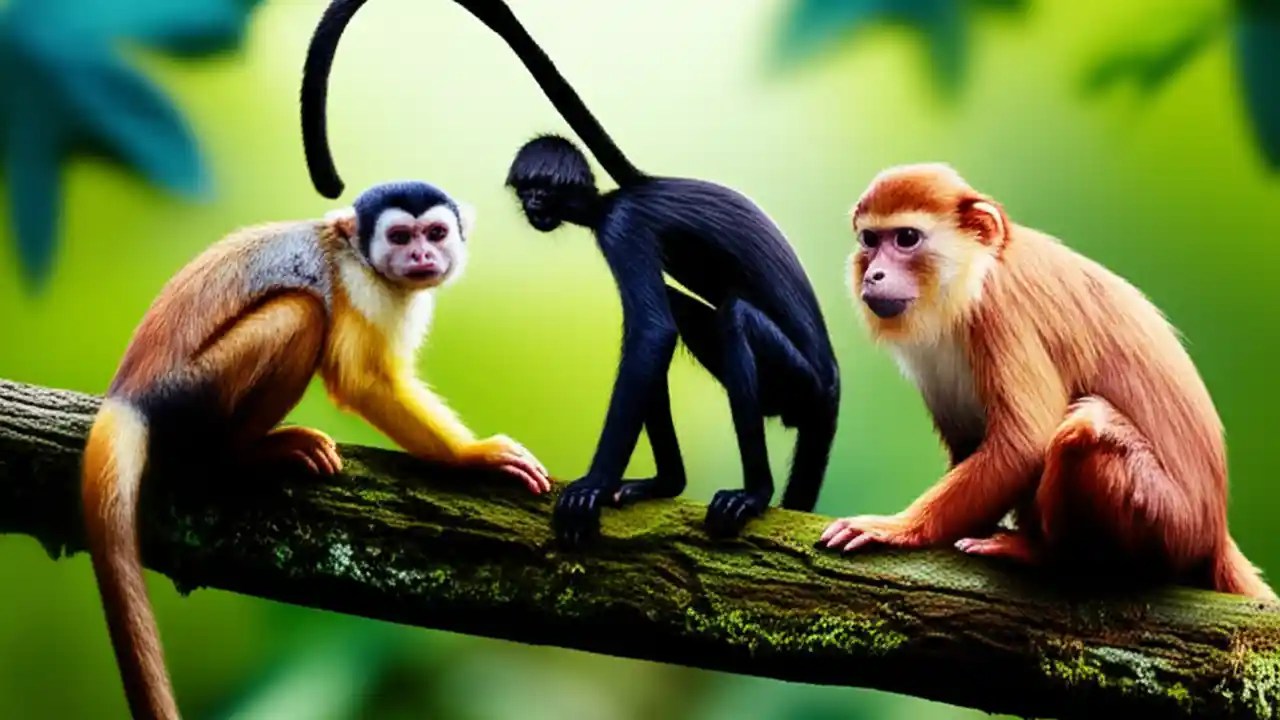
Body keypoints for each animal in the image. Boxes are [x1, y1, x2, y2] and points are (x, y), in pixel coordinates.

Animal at [81, 180, 551, 720]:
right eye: (400, 236)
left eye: (435, 233)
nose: (421, 255)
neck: (357, 255)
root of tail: (129, 395)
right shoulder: (361, 287)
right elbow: (360, 380)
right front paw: (477, 455)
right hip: (192, 390)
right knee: (302, 311)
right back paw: (244, 452)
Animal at [298, 0, 841, 546]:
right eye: (525, 191)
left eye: (541, 189)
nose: (532, 205)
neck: (619, 196)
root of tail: (832, 391)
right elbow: (657, 333)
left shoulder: (623, 226)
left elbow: (651, 332)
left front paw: (593, 485)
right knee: (683, 312)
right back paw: (668, 483)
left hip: (800, 384)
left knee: (731, 318)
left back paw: (754, 494)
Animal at [817, 162, 1275, 601]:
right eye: (870, 240)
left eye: (907, 238)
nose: (873, 274)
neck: (975, 275)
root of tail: (1213, 533)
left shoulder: (1003, 309)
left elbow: (1025, 444)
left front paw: (896, 528)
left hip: (1169, 525)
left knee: (1084, 428)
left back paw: (1049, 556)